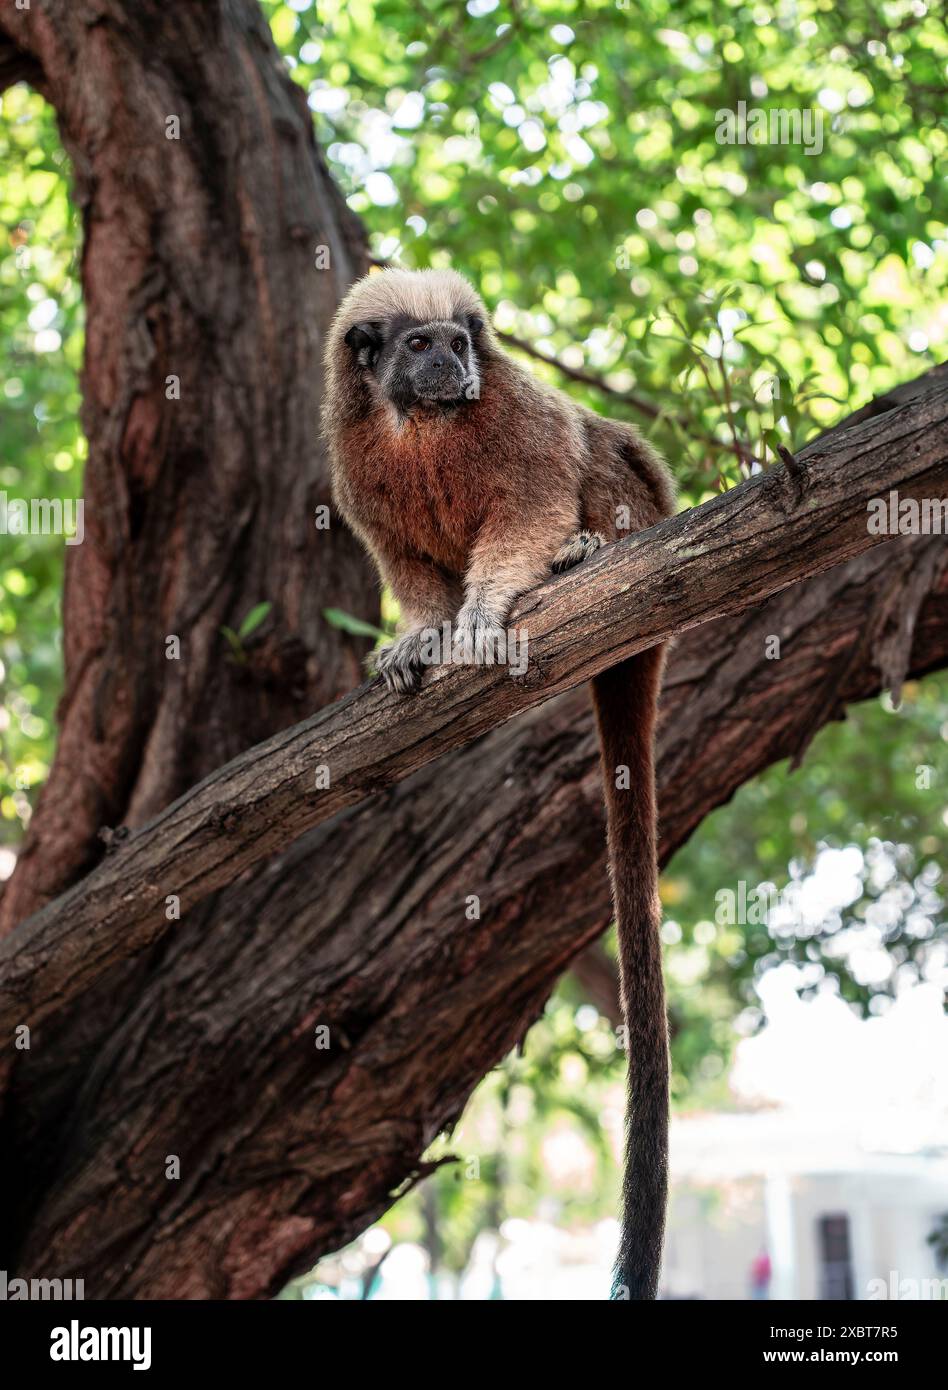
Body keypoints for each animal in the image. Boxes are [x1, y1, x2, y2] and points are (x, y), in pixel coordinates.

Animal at [323, 267, 676, 1300]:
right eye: (417, 346)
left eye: (458, 340)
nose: (453, 365)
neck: (418, 424)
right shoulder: (353, 456)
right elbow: (406, 560)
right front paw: (425, 634)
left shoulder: (516, 415)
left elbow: (537, 493)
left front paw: (487, 608)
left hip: (644, 508)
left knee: (606, 448)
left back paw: (583, 556)